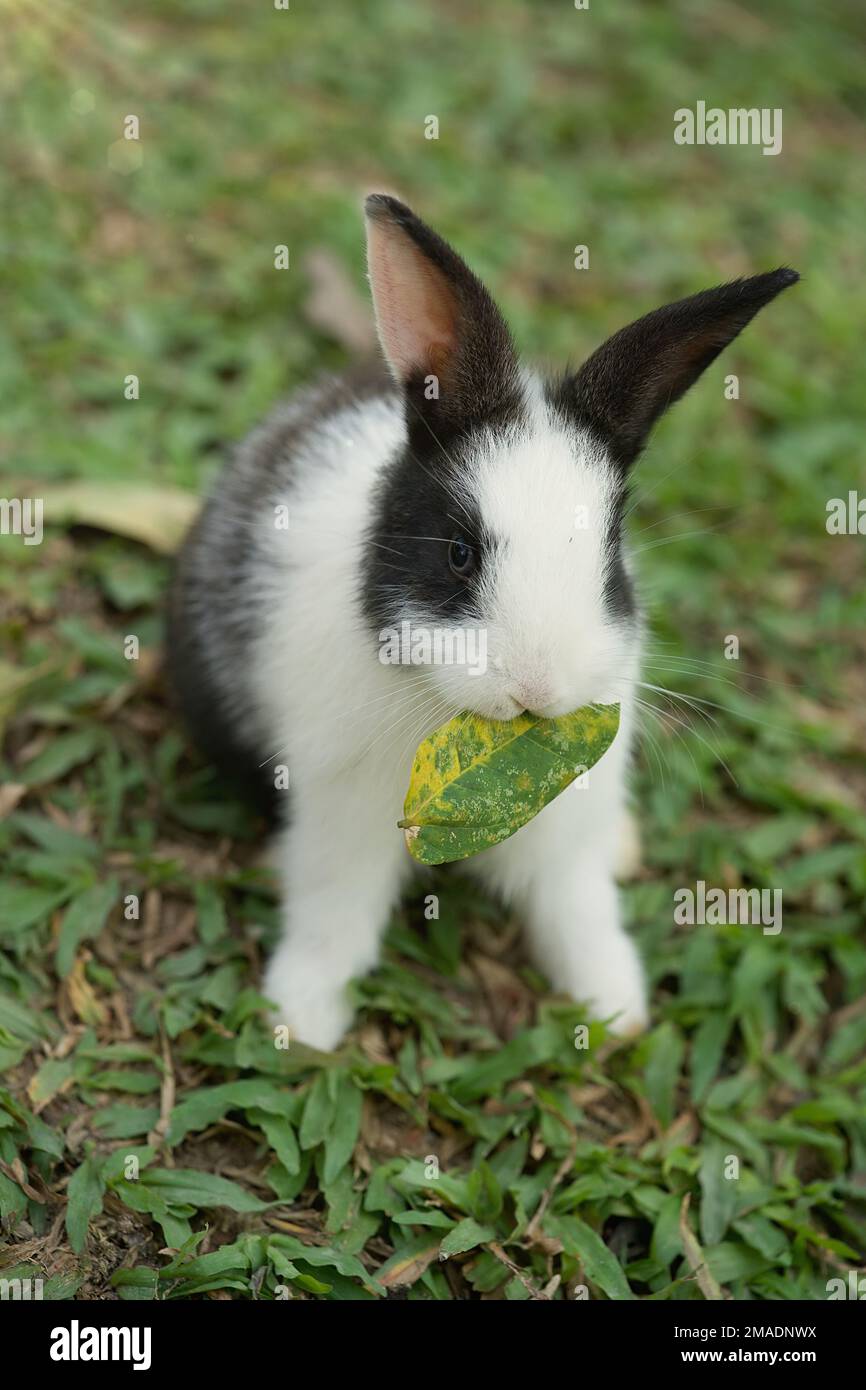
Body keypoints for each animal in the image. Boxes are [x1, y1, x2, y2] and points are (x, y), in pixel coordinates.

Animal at [167, 194, 797, 1051]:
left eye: (610, 555)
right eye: (458, 553)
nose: (536, 688)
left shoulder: (568, 834)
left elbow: (575, 909)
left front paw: (614, 1008)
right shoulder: (341, 813)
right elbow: (334, 915)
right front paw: (303, 1020)